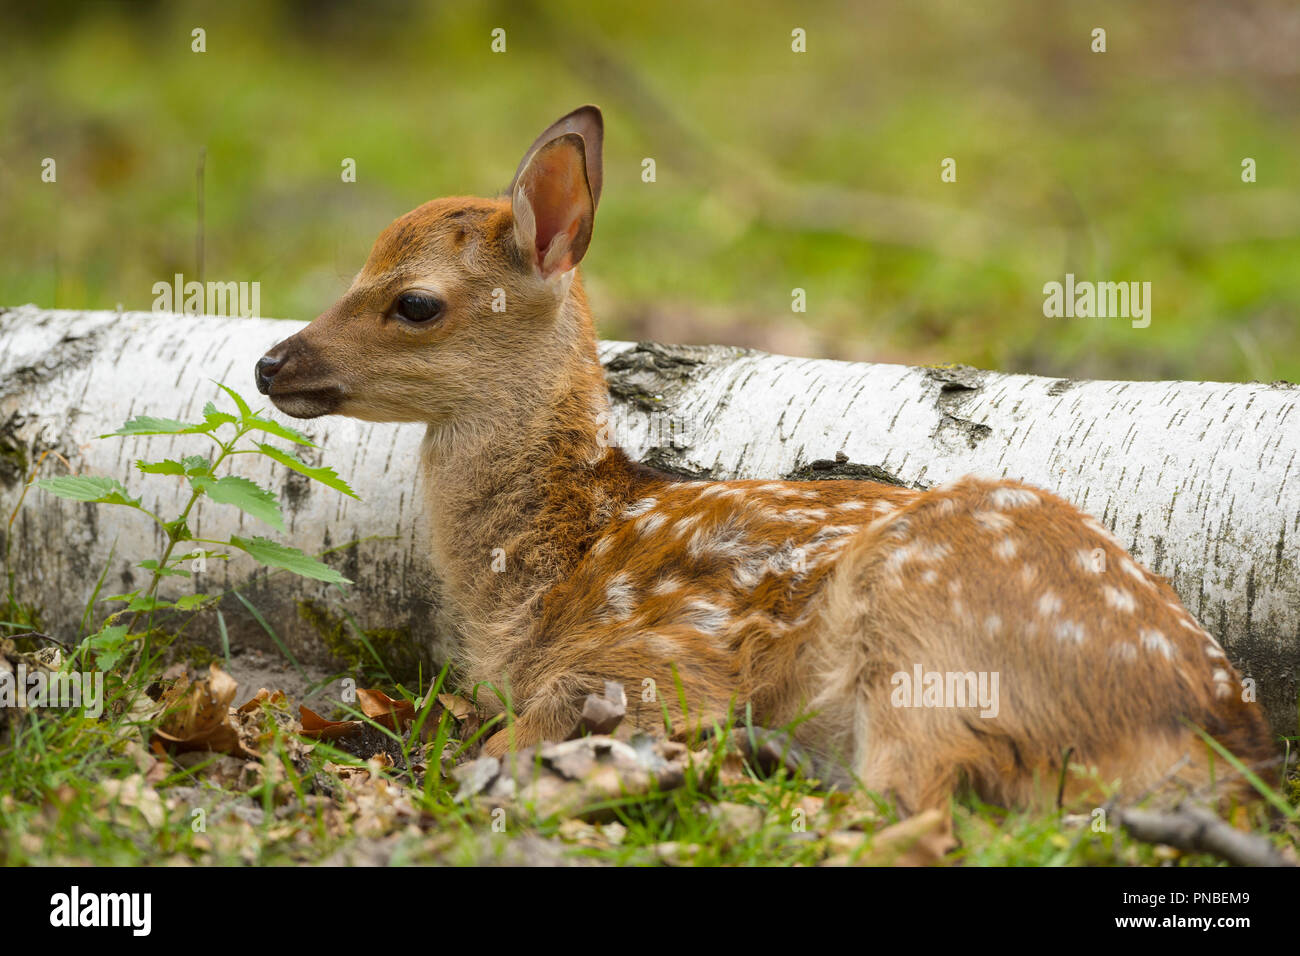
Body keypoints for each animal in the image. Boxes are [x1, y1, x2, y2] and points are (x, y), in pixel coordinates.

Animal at [255, 105, 1275, 822]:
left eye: (415, 303)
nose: (270, 364)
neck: (553, 565)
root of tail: (1218, 740)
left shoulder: (660, 654)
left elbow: (517, 737)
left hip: (928, 641)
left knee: (914, 811)